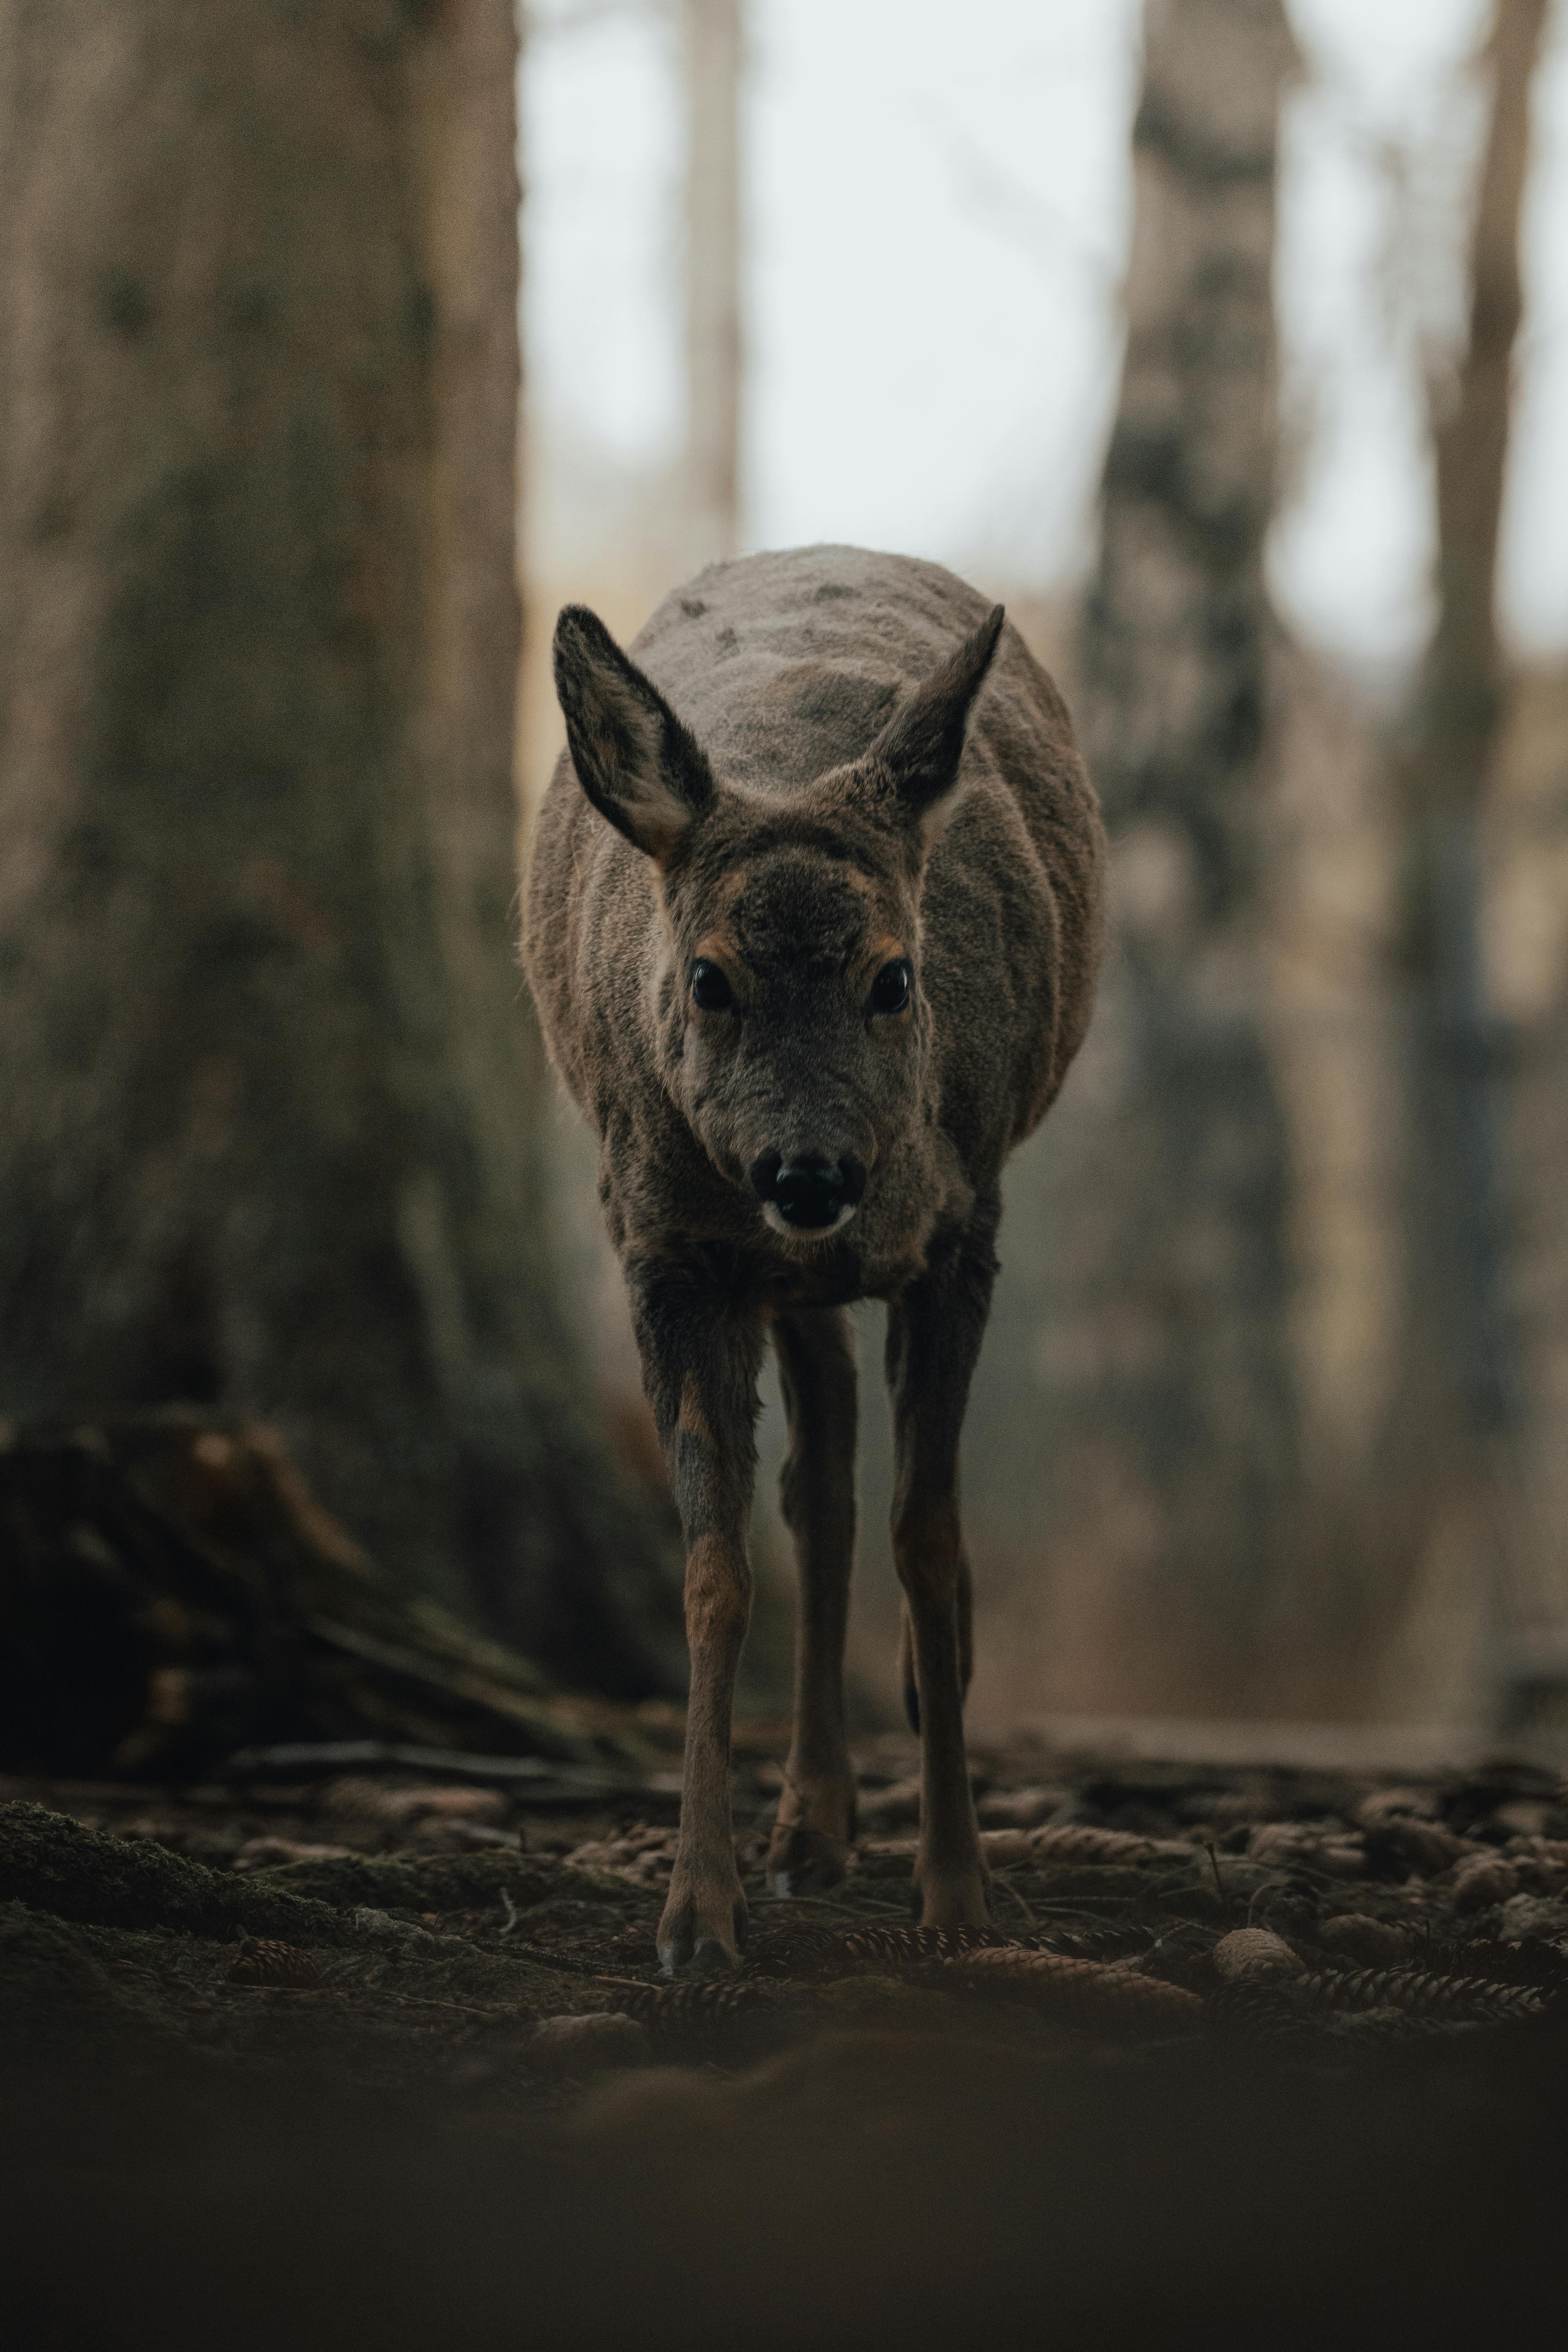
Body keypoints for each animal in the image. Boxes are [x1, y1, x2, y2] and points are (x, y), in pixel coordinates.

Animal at [524, 546, 1105, 1973]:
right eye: (707, 977)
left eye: (893, 978)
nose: (810, 1172)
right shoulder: (664, 1250)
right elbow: (714, 1568)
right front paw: (695, 1915)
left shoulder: (962, 1234)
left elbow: (930, 1543)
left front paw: (955, 1895)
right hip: (767, 1277)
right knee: (818, 1480)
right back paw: (806, 1827)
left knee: (851, 1482)